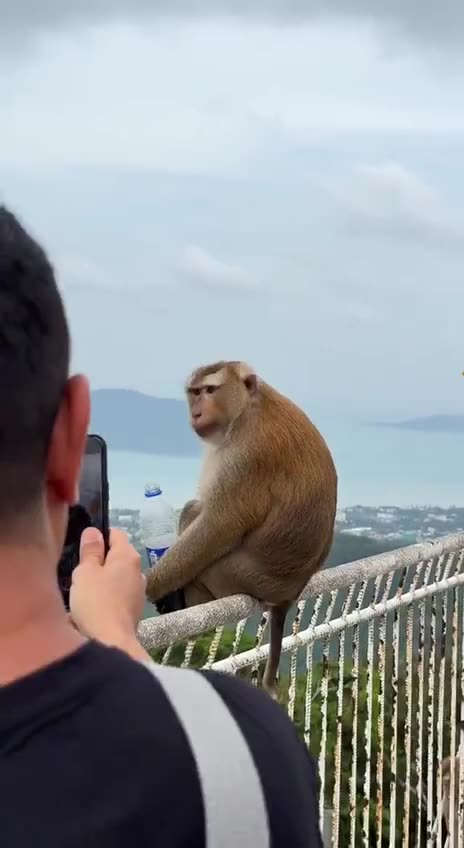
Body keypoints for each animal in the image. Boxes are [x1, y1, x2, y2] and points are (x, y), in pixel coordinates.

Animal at [146, 360, 337, 699]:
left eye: (210, 390)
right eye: (194, 392)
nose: (196, 412)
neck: (247, 406)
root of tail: (288, 594)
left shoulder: (247, 455)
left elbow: (221, 524)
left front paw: (150, 585)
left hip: (234, 574)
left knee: (198, 515)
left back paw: (182, 603)